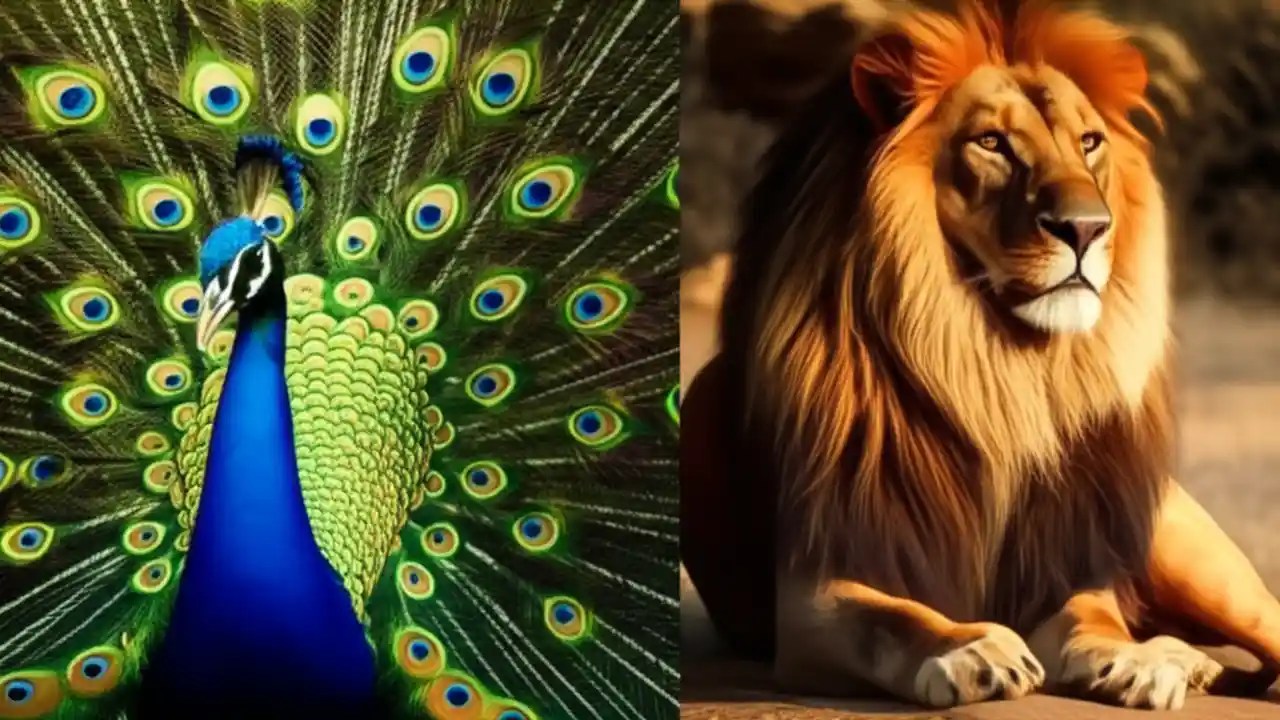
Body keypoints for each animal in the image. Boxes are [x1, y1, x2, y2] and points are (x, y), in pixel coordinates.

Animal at [680, 0, 1280, 710]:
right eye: (991, 143)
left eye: (1089, 142)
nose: (1087, 228)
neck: (994, 366)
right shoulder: (816, 589)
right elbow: (891, 620)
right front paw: (971, 649)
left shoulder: (1066, 565)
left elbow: (1095, 616)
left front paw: (1133, 659)